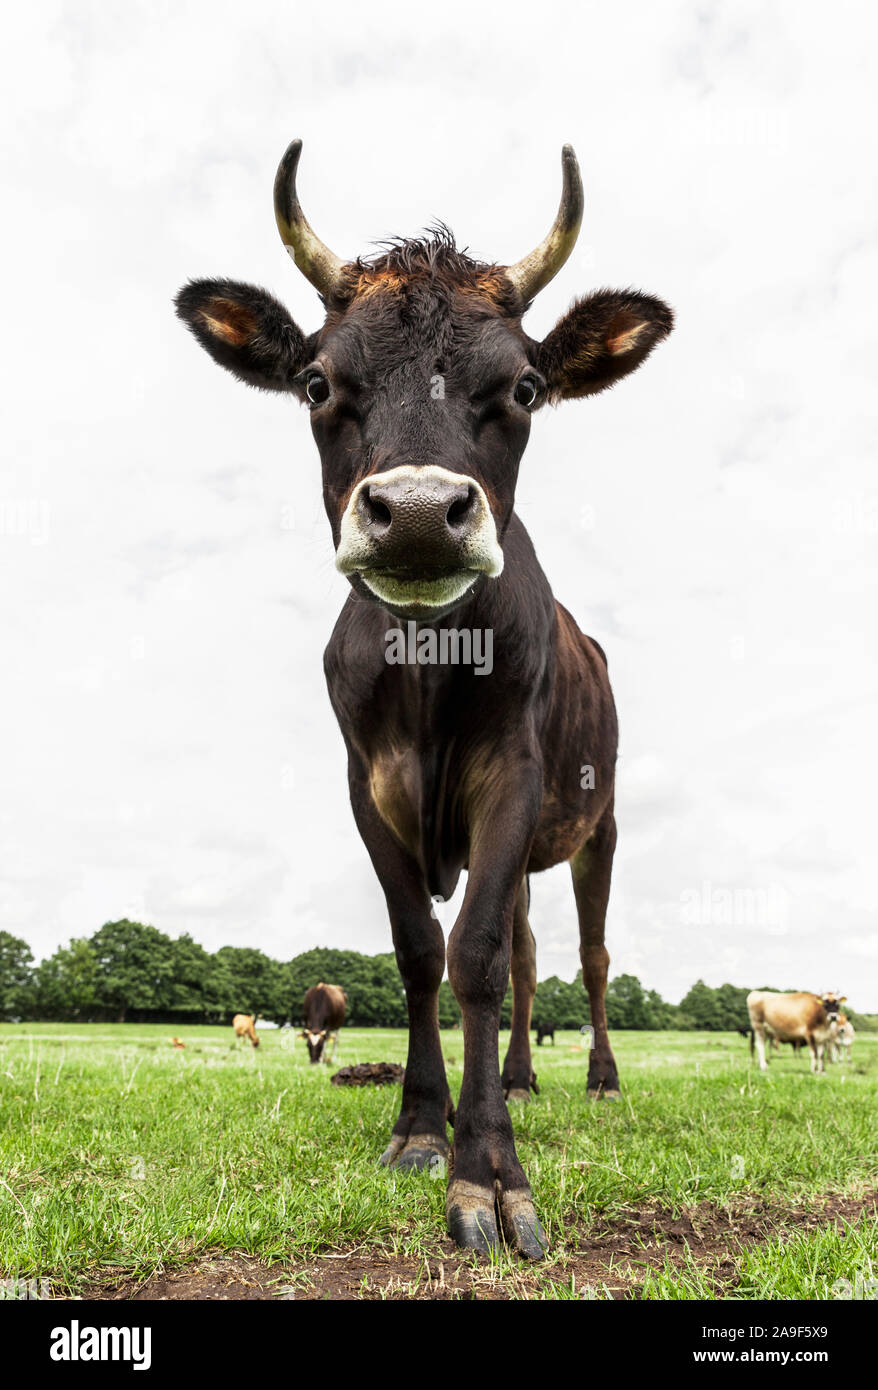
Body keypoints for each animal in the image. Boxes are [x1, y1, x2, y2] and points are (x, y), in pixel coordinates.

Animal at [175, 138, 673, 1258]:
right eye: (316, 380)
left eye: (525, 386)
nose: (411, 514)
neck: (429, 661)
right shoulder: (369, 788)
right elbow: (419, 952)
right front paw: (418, 1125)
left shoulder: (513, 775)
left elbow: (473, 953)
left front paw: (485, 1171)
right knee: (530, 955)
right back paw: (523, 1078)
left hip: (601, 823)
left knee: (582, 956)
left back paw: (595, 1080)